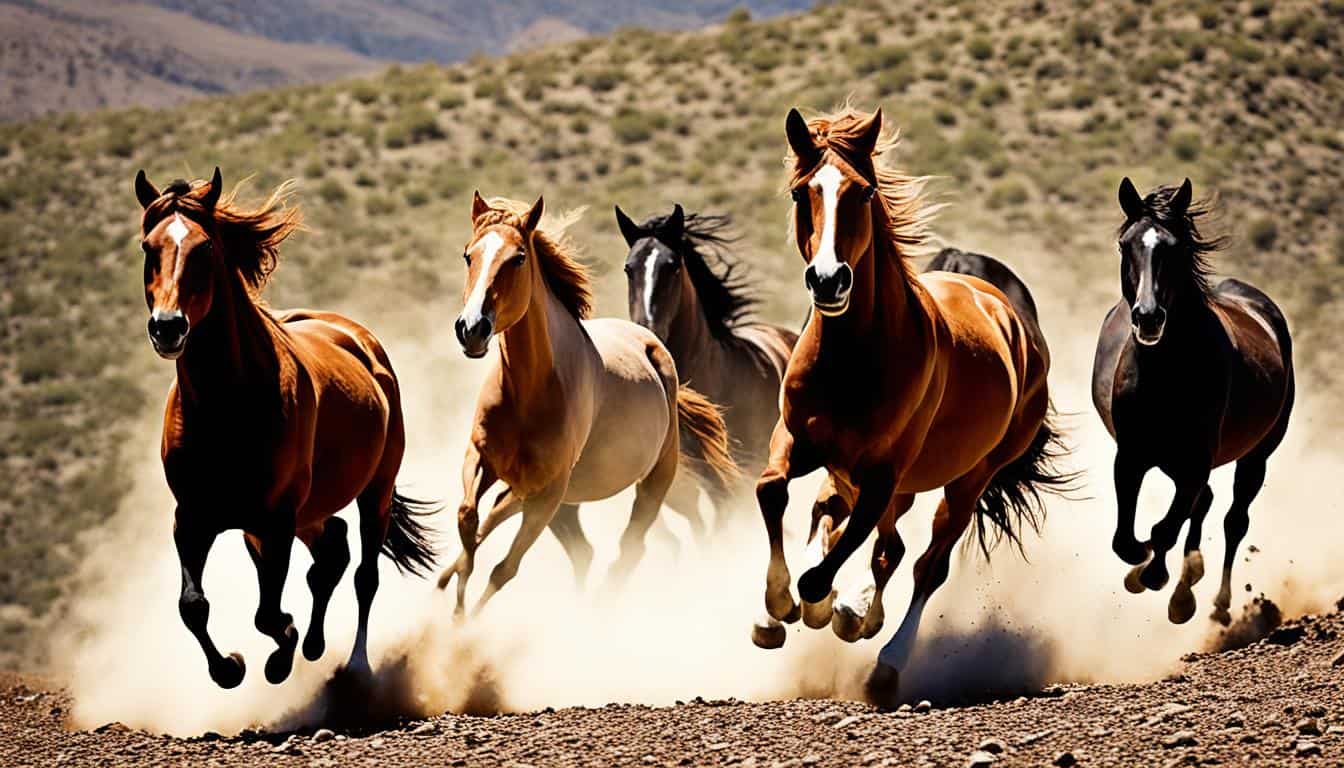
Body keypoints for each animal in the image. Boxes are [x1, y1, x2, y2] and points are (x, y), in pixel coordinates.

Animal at [134, 168, 437, 689]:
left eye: (205, 248)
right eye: (147, 247)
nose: (167, 328)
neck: (227, 408)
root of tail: (360, 339)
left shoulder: (273, 521)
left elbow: (268, 614)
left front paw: (278, 658)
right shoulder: (193, 518)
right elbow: (194, 605)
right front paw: (231, 667)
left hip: (372, 492)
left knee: (363, 574)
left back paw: (354, 665)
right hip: (305, 513)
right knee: (332, 552)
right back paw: (313, 646)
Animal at [436, 194, 737, 613]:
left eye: (518, 258)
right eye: (468, 255)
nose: (472, 329)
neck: (528, 392)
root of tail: (652, 344)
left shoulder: (548, 492)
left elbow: (503, 569)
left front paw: (463, 623)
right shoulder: (482, 459)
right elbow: (468, 522)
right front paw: (456, 602)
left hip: (653, 483)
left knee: (629, 548)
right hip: (540, 494)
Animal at [1093, 177, 1294, 625]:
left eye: (1175, 247)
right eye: (1125, 245)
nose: (1148, 317)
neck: (1167, 376)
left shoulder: (1196, 462)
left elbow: (1165, 529)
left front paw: (1165, 587)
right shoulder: (1130, 456)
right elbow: (1125, 540)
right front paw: (1143, 566)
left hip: (1255, 456)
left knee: (1234, 520)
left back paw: (1215, 602)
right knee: (1204, 504)